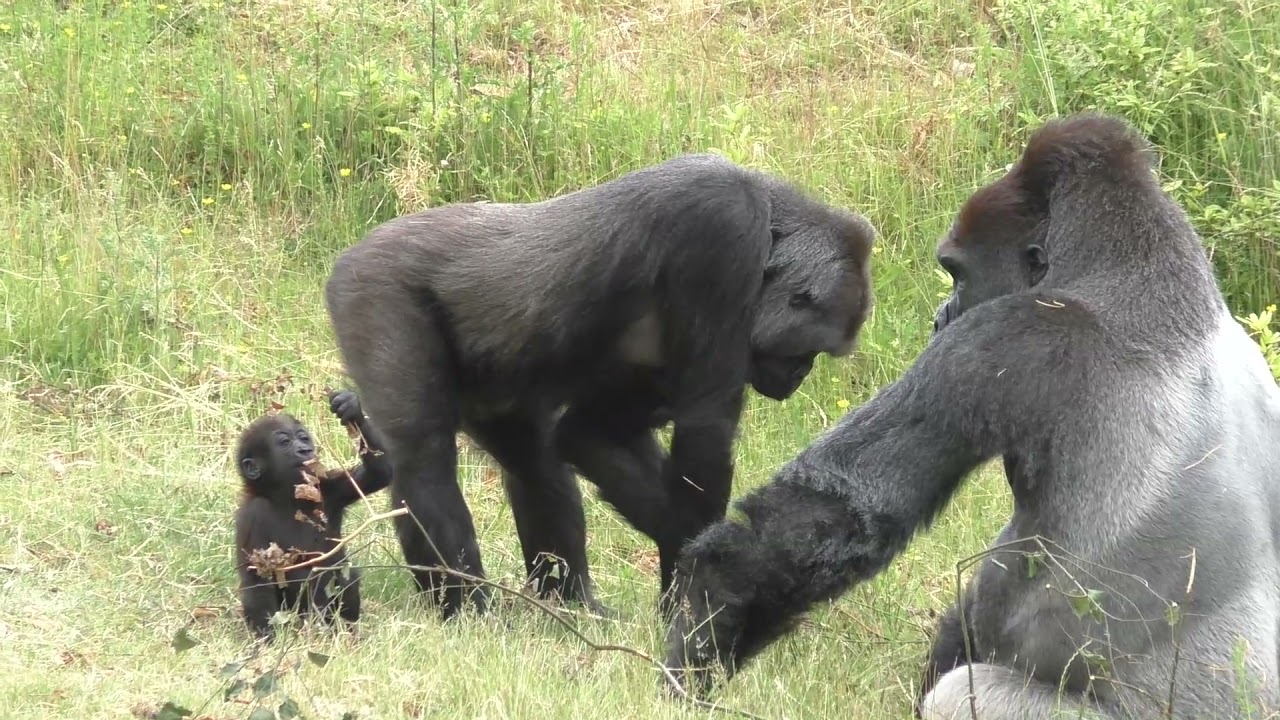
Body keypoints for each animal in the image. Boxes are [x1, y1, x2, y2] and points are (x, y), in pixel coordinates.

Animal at [324, 153, 875, 619]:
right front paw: (698, 597)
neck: (770, 230)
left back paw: (571, 605)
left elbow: (592, 437)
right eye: (809, 351)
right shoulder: (721, 232)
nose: (797, 379)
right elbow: (703, 440)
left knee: (534, 463)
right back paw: (469, 611)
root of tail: (351, 252)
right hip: (371, 287)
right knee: (423, 454)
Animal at [660, 113, 1280, 720]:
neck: (1144, 280)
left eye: (958, 273)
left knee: (958, 695)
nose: (940, 317)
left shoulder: (1002, 340)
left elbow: (833, 516)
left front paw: (690, 660)